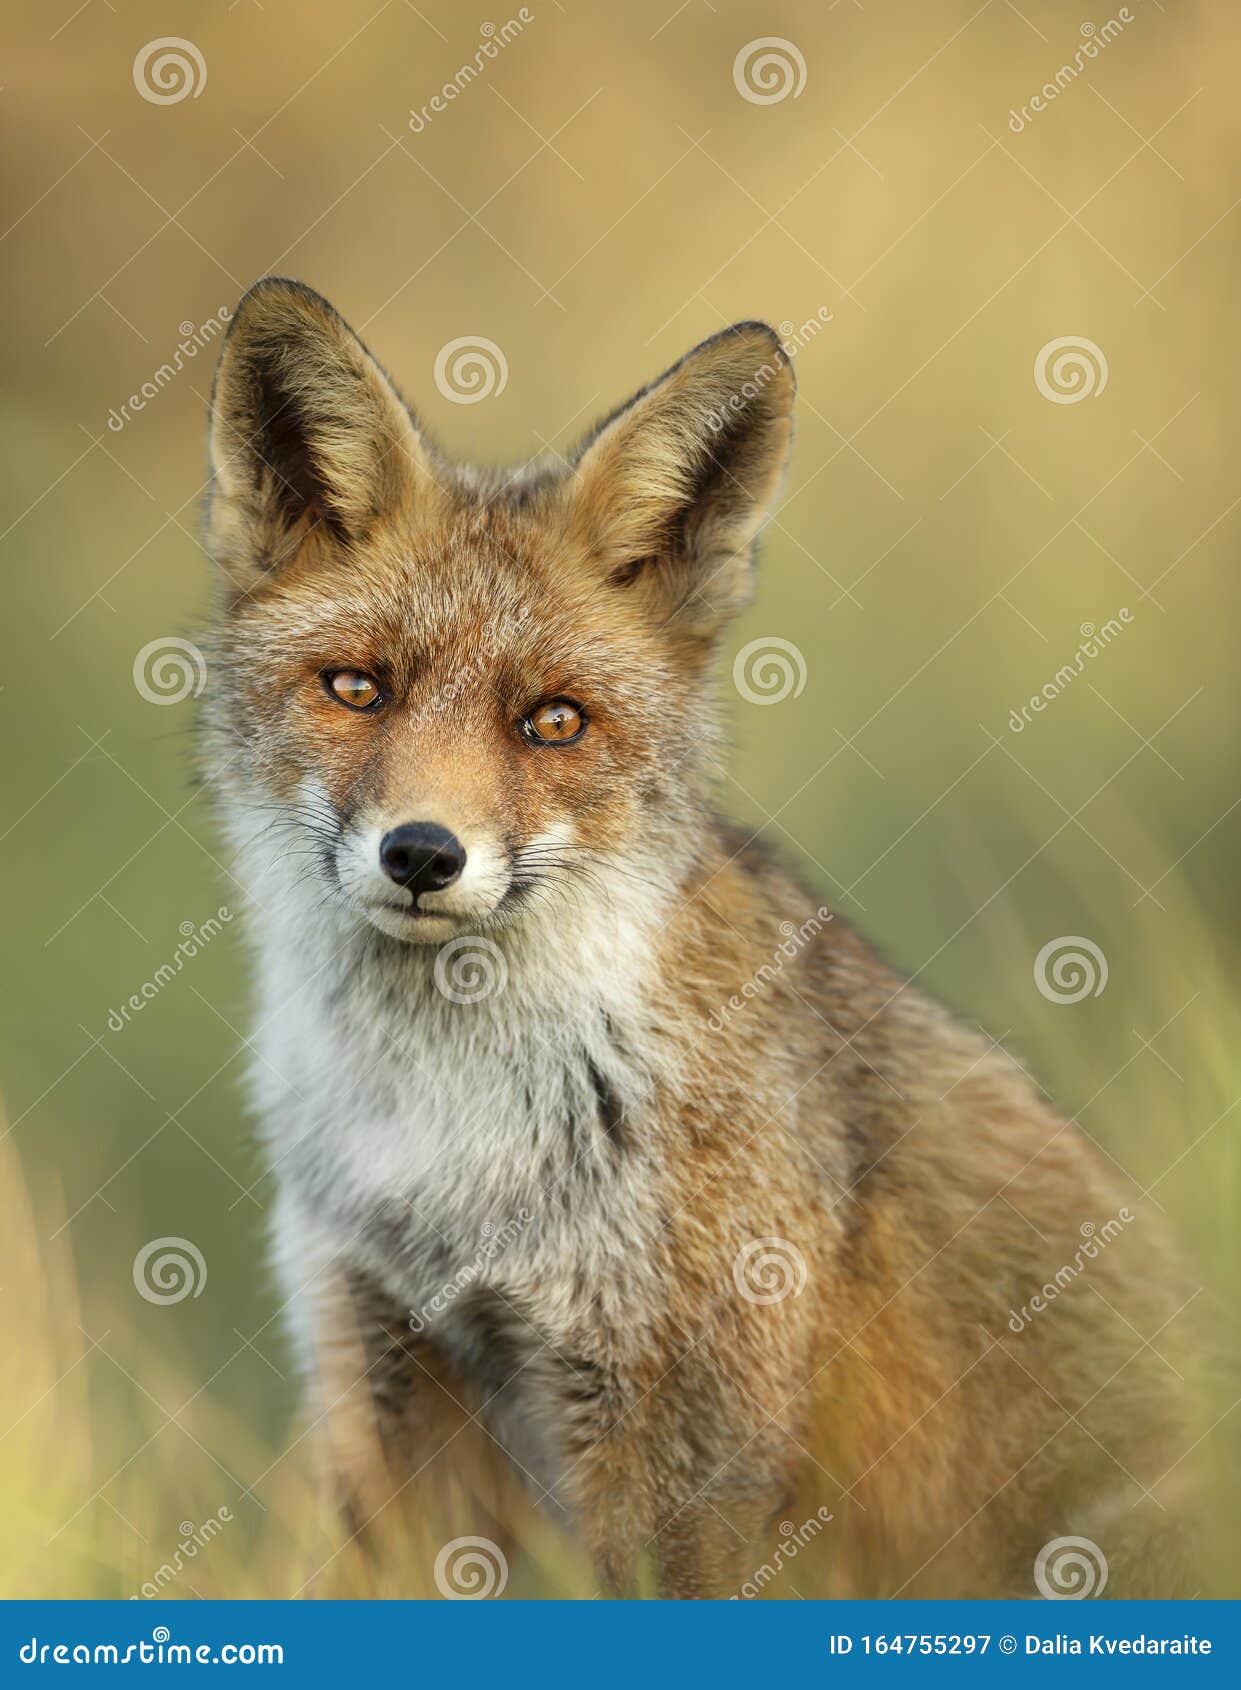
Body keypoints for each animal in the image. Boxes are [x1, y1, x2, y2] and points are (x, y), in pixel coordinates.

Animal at [200, 277, 1192, 1599]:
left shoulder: (687, 1434)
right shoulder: (383, 1370)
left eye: (553, 720)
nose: (420, 854)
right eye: (357, 688)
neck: (445, 1141)